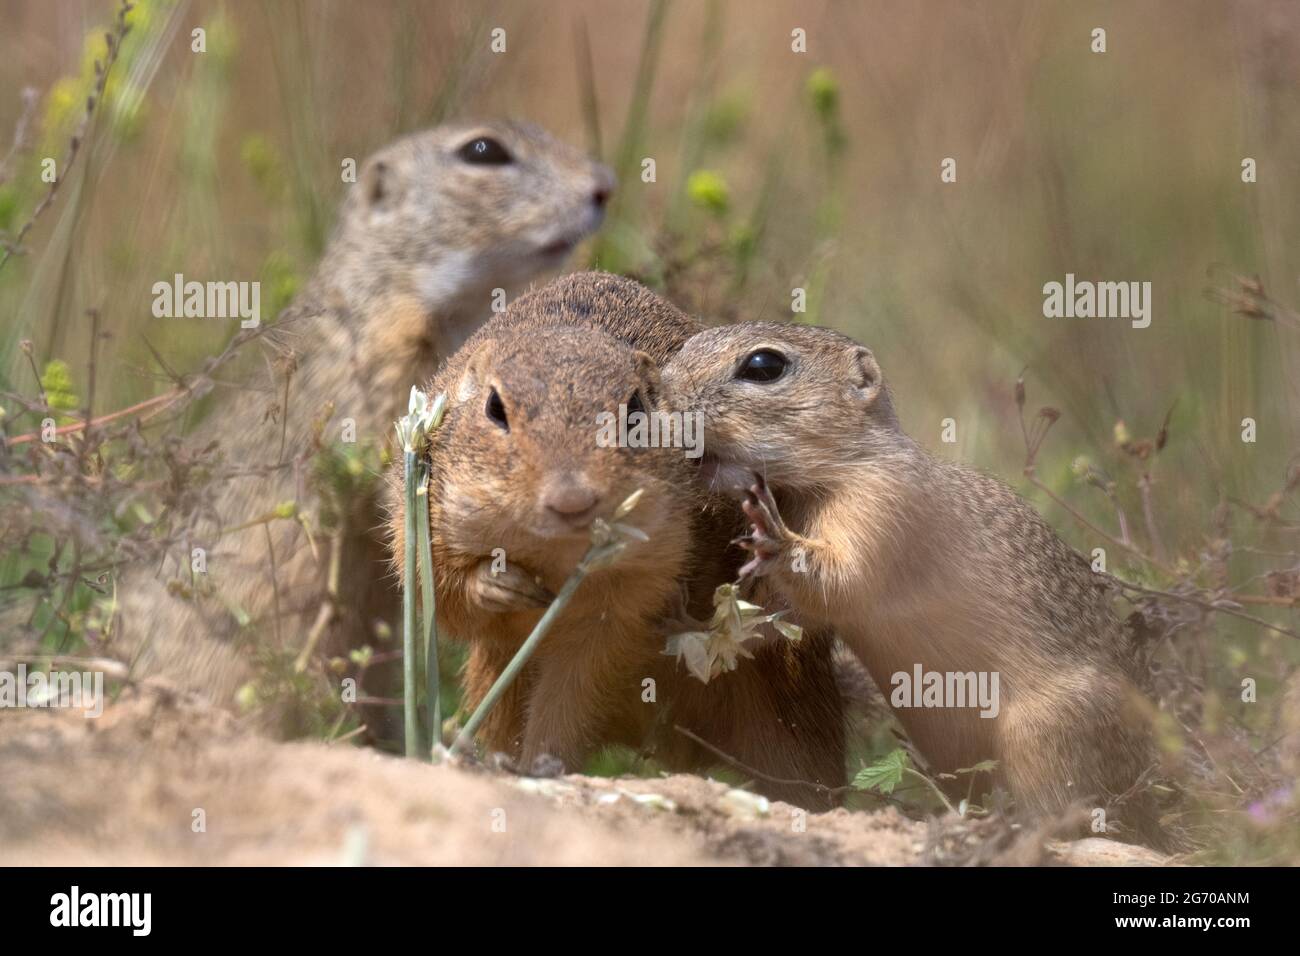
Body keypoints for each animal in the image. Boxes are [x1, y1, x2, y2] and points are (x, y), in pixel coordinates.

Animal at [390, 272, 846, 808]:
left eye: (635, 411)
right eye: (494, 408)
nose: (572, 499)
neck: (556, 555)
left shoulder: (624, 606)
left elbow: (570, 694)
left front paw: (541, 764)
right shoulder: (425, 521)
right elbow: (440, 591)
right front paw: (499, 584)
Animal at [659, 321, 1170, 845]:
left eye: (764, 366)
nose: (662, 390)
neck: (841, 469)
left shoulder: (884, 506)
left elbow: (840, 578)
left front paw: (774, 537)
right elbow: (776, 619)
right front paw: (687, 622)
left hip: (1043, 732)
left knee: (1070, 814)